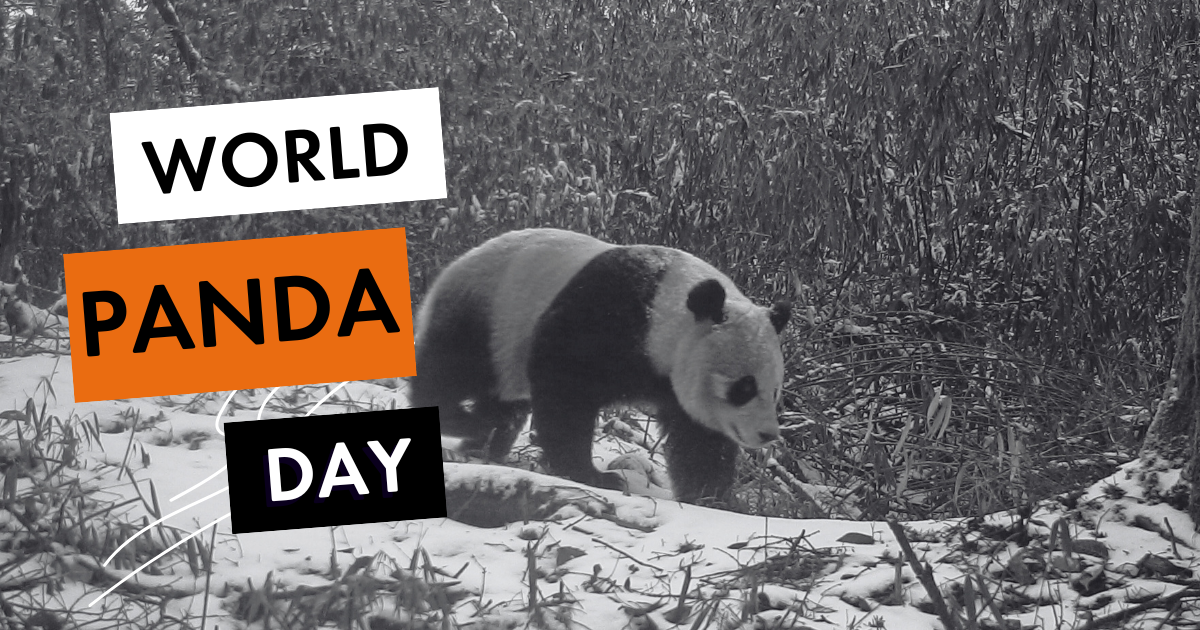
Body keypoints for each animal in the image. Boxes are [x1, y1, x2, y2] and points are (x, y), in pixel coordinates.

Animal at [411, 228, 790, 503]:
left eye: (774, 392)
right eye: (744, 387)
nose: (766, 434)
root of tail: (457, 262)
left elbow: (700, 441)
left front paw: (711, 499)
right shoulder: (605, 317)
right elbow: (566, 391)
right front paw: (594, 475)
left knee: (505, 402)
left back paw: (487, 439)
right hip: (489, 312)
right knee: (452, 370)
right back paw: (467, 423)